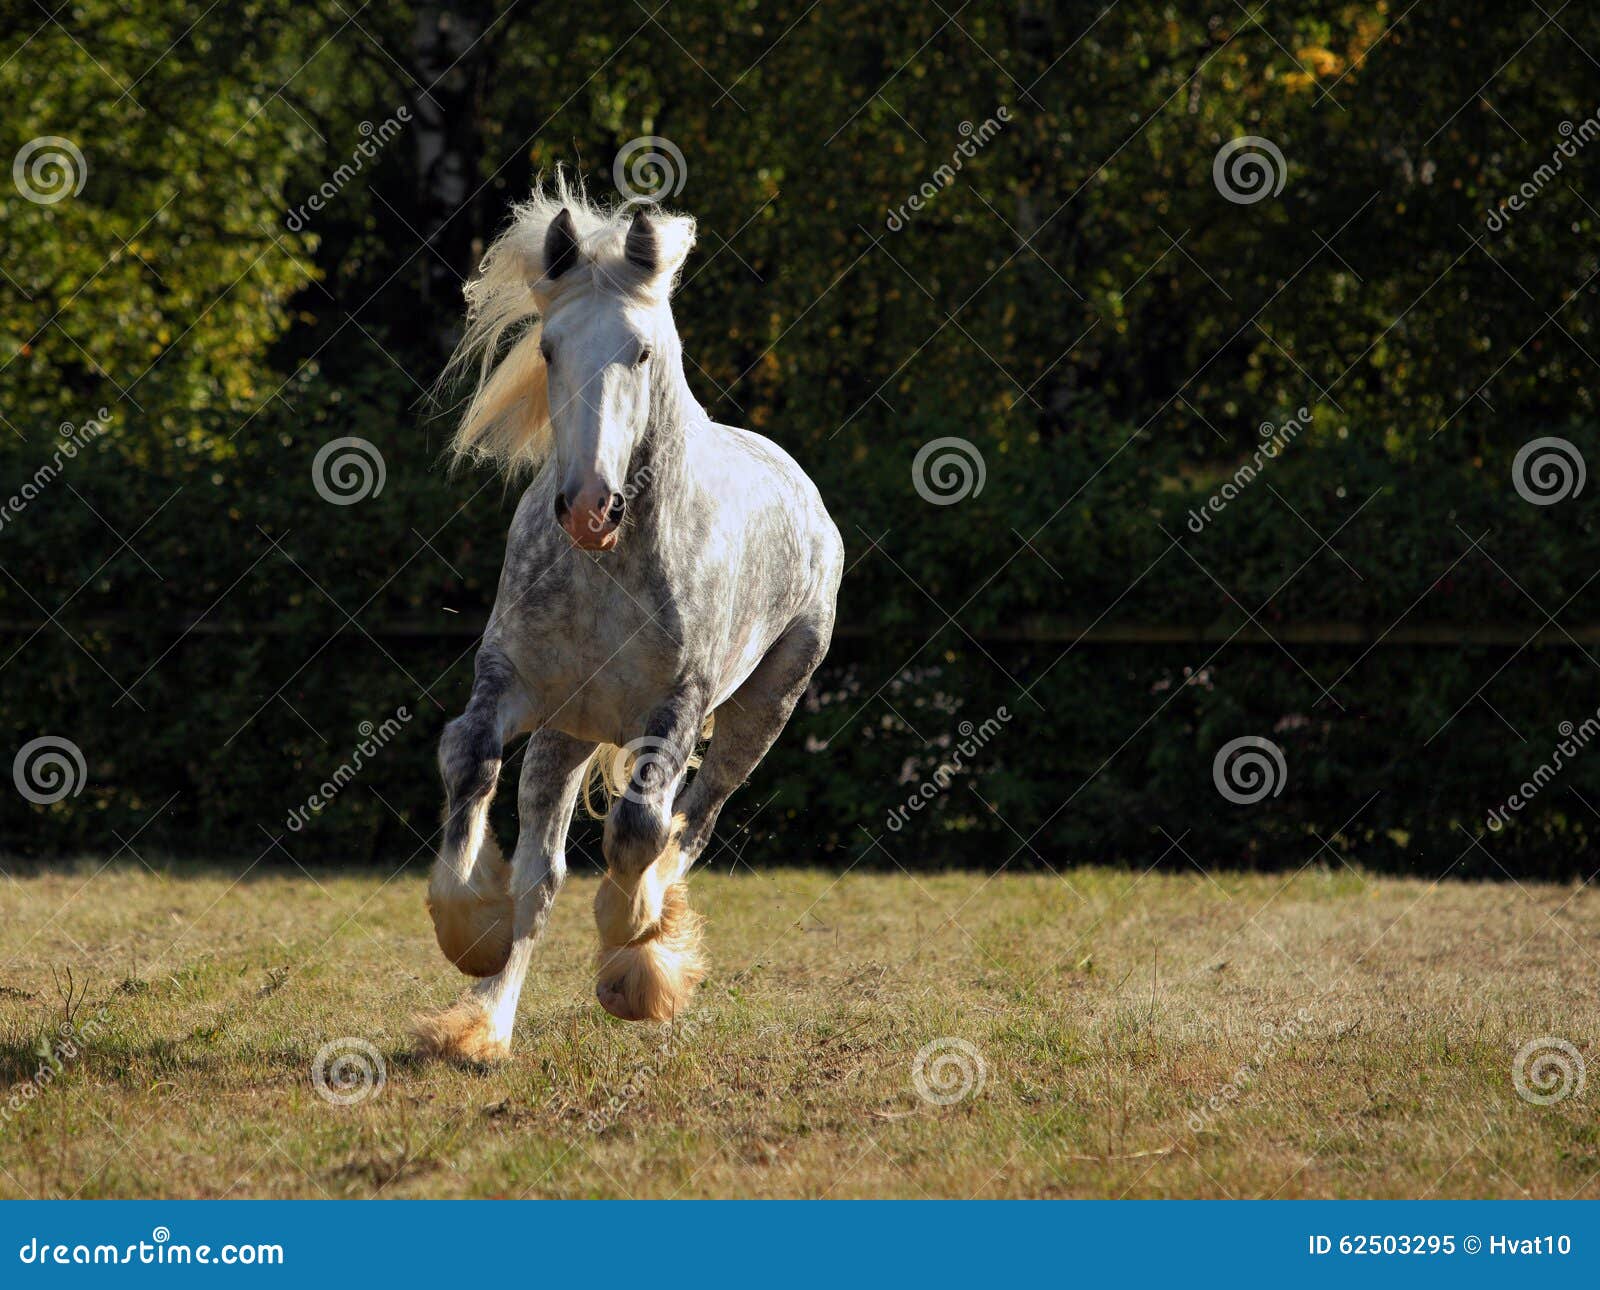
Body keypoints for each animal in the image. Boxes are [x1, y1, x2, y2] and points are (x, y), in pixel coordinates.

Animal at [414, 177, 843, 1062]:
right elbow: (468, 759)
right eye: (548, 349)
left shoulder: (674, 706)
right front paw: (468, 931)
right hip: (567, 731)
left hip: (762, 711)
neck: (609, 569)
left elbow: (642, 830)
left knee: (693, 822)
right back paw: (486, 1023)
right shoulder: (513, 680)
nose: (588, 508)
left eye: (641, 353)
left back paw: (647, 948)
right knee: (543, 873)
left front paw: (632, 947)